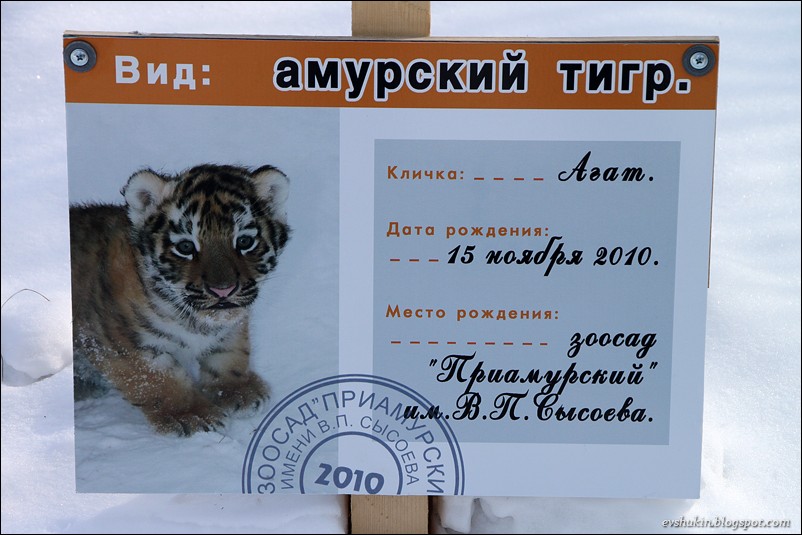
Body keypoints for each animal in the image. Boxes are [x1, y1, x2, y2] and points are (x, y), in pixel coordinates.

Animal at [70, 163, 290, 436]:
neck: (193, 320)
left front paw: (238, 390)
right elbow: (158, 379)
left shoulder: (232, 321)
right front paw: (191, 415)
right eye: (186, 247)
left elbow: (232, 349)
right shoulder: (115, 340)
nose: (223, 290)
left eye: (245, 241)